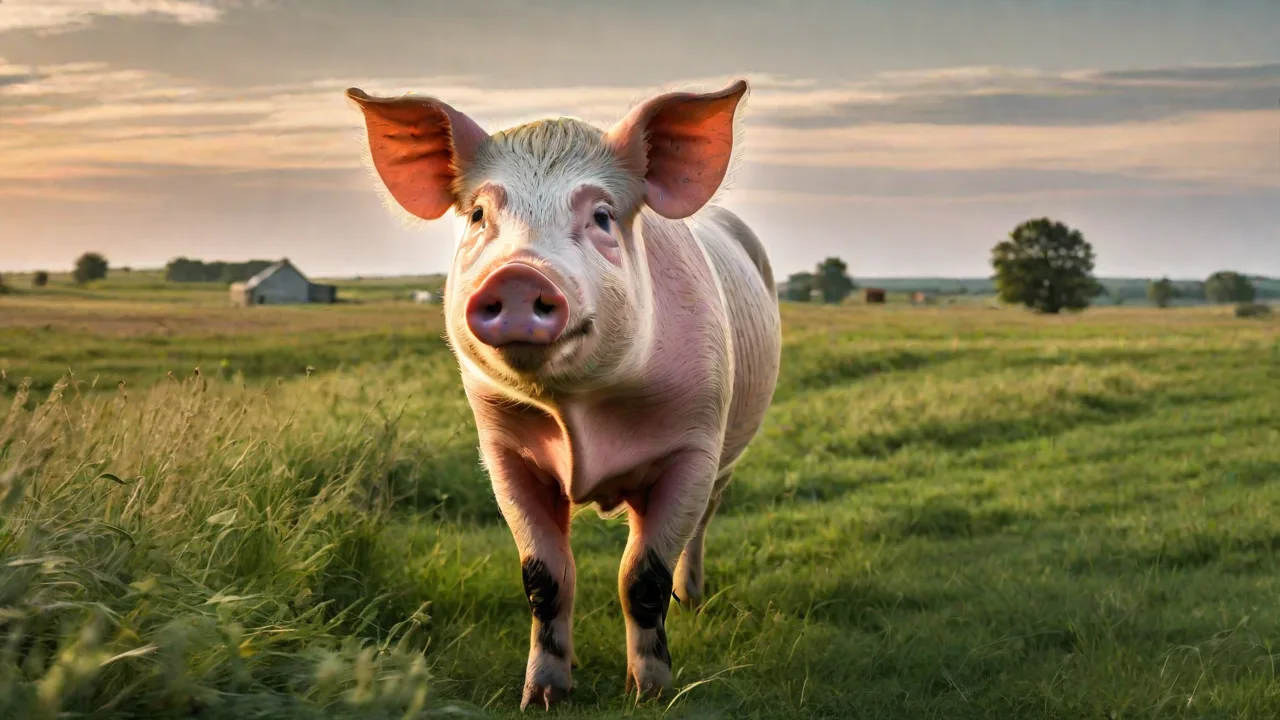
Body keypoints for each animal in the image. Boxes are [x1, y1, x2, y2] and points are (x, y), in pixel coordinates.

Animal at [345, 78, 782, 710]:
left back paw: (693, 601)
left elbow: (641, 576)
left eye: (602, 215)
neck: (578, 417)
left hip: (728, 451)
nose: (518, 274)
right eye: (479, 214)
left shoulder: (694, 444)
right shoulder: (503, 450)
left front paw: (651, 696)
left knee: (702, 525)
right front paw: (542, 697)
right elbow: (545, 576)